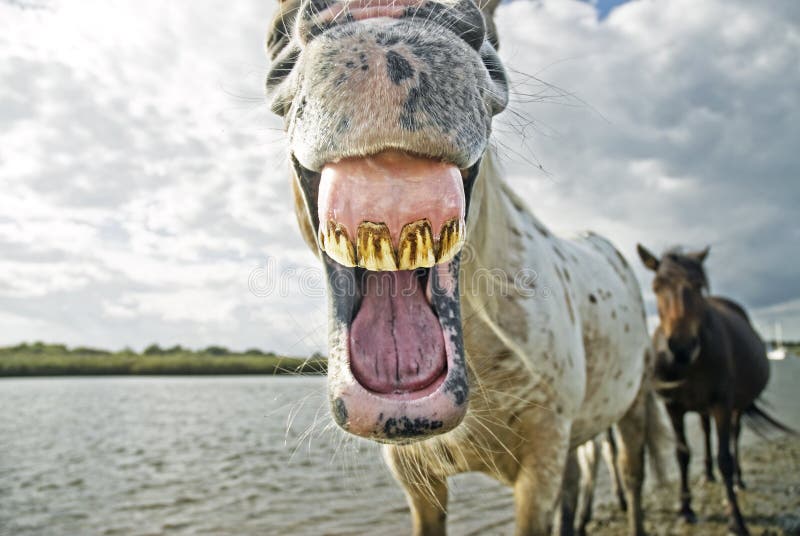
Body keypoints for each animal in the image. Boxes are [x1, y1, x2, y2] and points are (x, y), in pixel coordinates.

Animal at [264, 1, 668, 533]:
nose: (382, 21)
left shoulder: (542, 455)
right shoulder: (416, 475)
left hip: (632, 407)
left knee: (634, 476)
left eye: (492, 17)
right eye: (276, 27)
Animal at [636, 244, 791, 535]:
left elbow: (725, 458)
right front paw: (685, 508)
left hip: (737, 405)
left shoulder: (722, 404)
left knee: (735, 436)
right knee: (706, 431)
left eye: (698, 285)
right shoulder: (673, 407)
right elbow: (682, 454)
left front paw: (735, 518)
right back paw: (707, 475)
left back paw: (739, 481)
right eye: (656, 287)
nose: (681, 346)